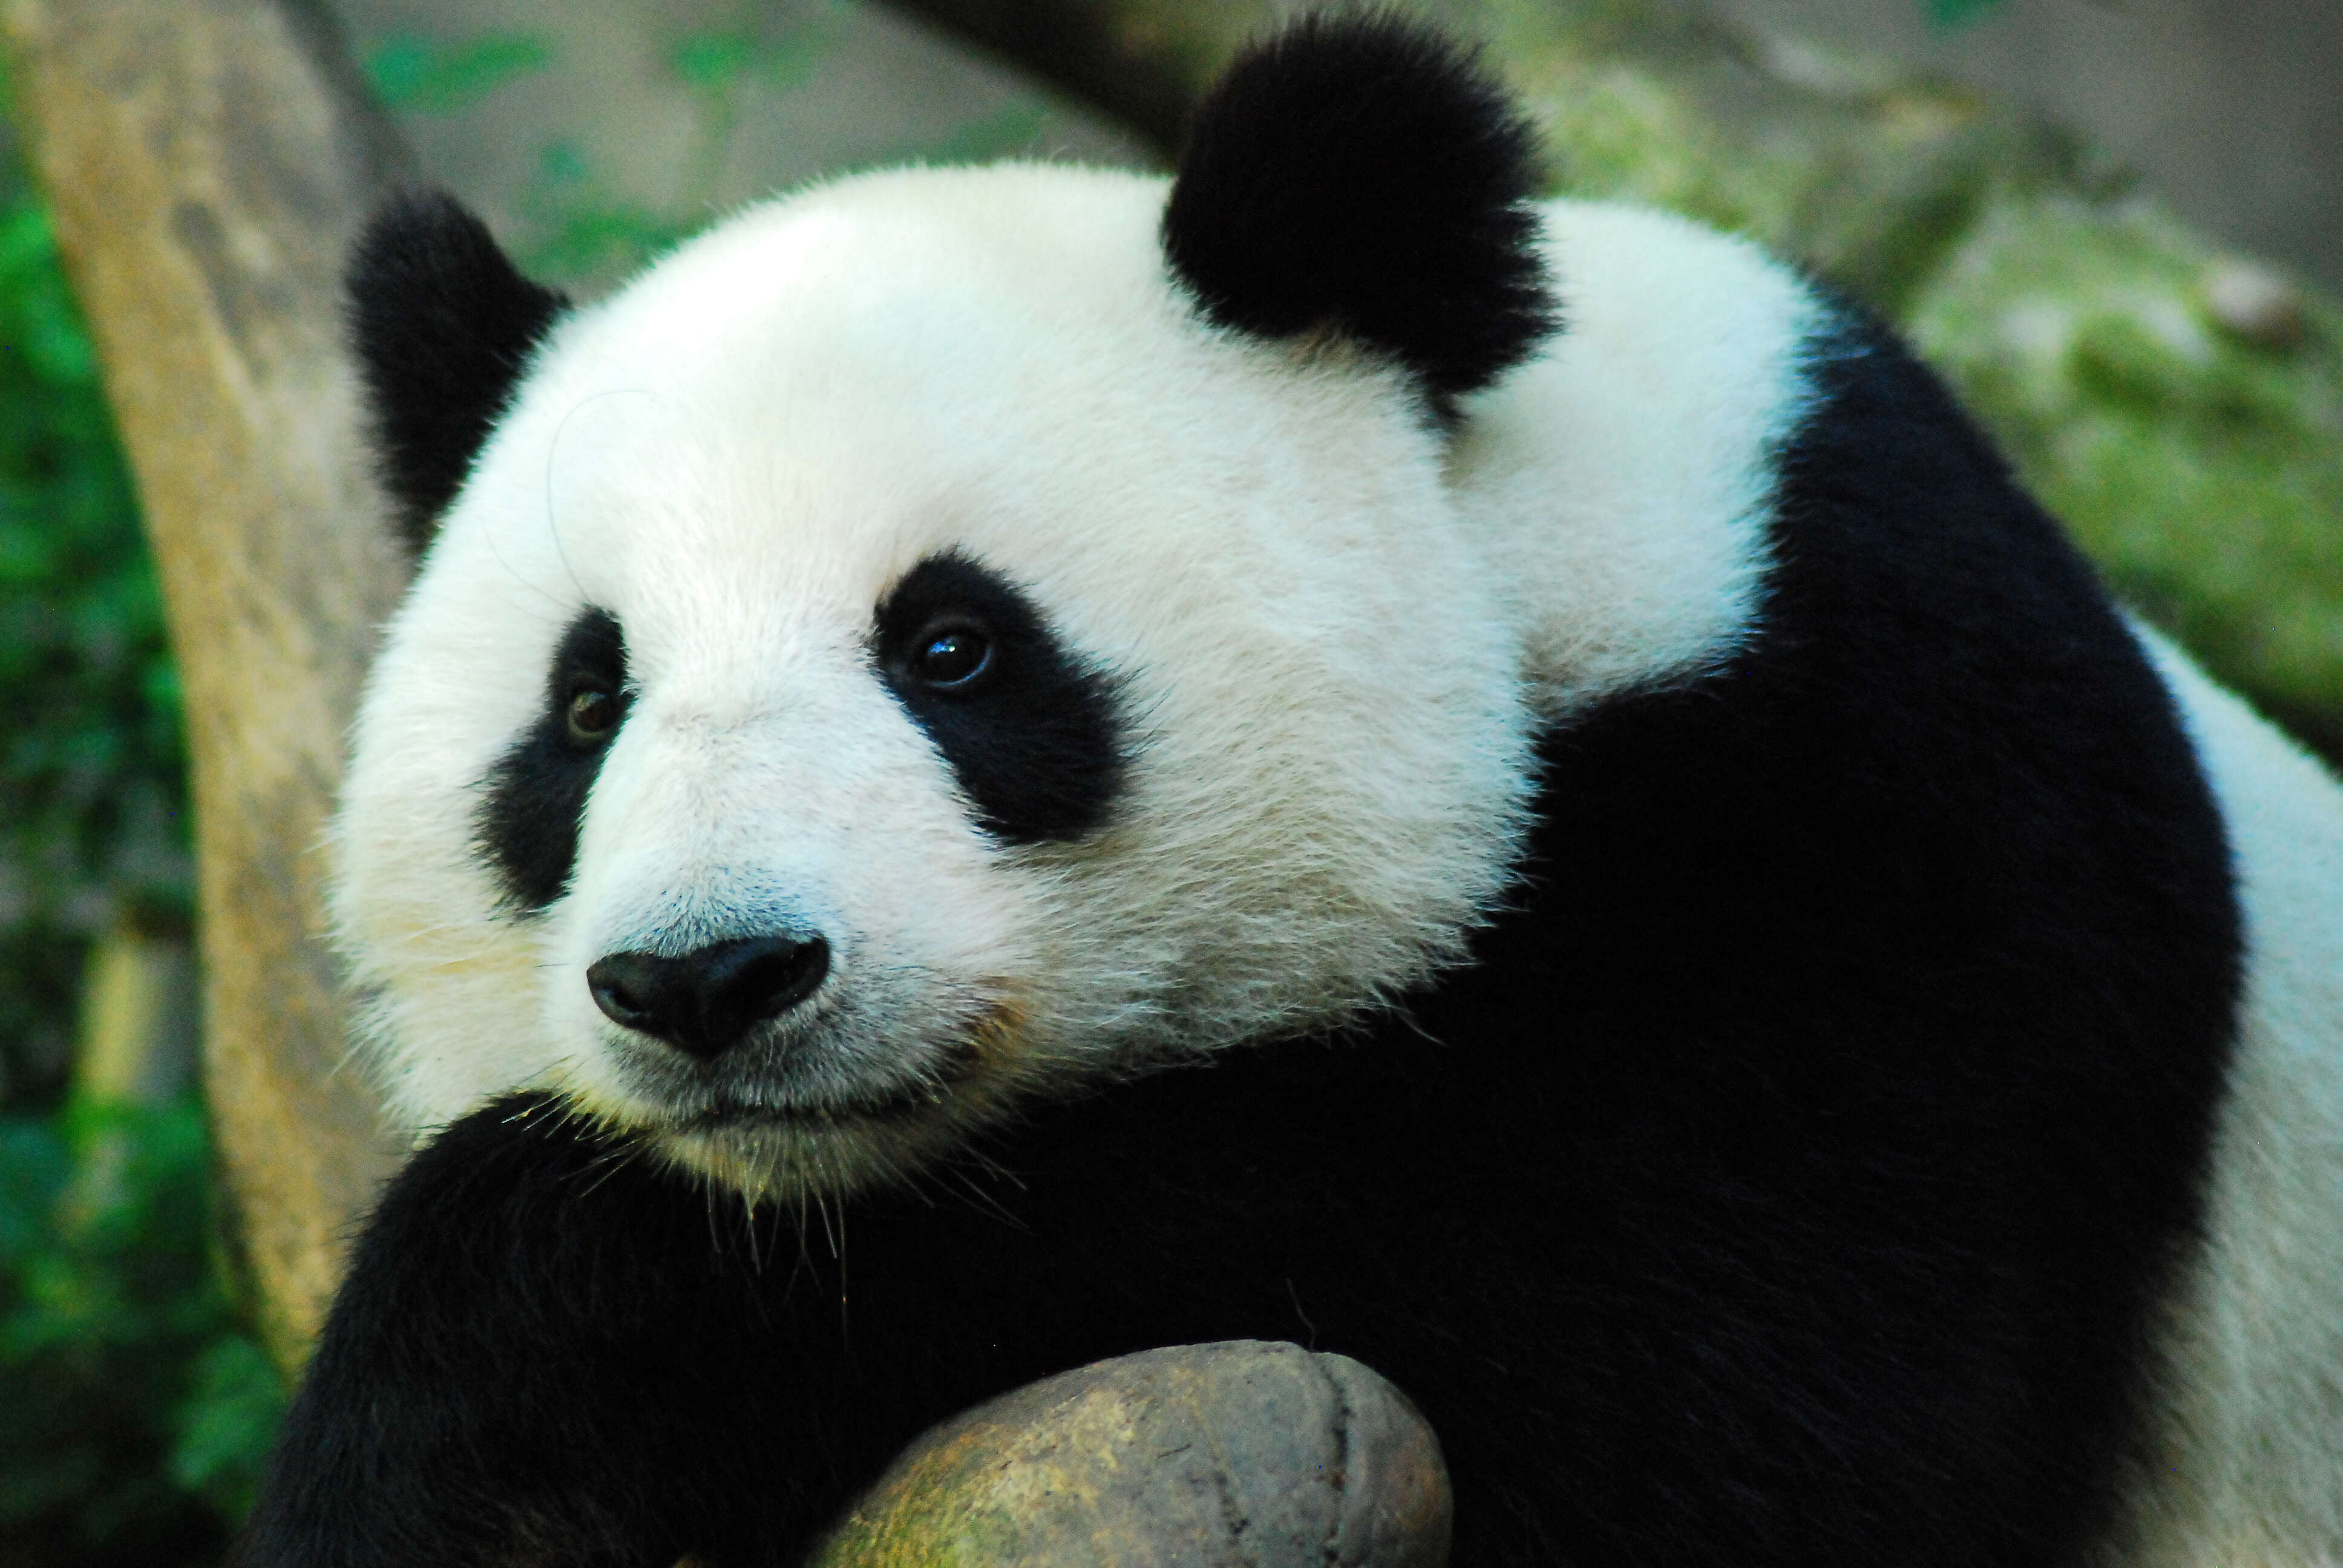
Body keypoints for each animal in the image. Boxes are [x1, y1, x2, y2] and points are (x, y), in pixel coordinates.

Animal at [237, 15, 2343, 1568]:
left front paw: (488, 1390)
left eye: (955, 649)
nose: (710, 980)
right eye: (587, 705)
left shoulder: (1894, 825)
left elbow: (1703, 1381)